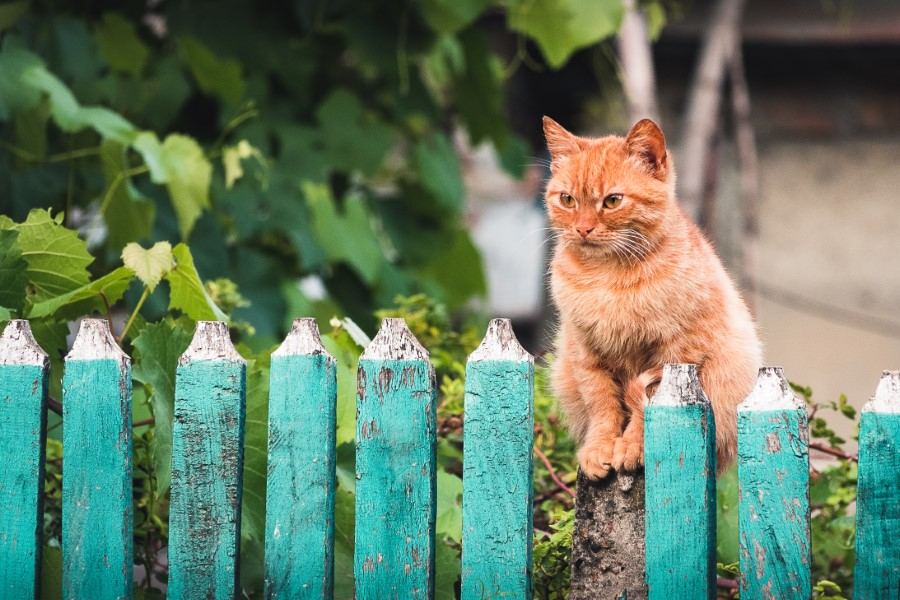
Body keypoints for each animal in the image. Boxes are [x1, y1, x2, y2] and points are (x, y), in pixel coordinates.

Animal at [544, 117, 764, 478]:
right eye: (567, 200)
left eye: (612, 201)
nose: (583, 229)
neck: (605, 276)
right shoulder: (586, 353)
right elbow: (602, 405)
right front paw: (600, 448)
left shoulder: (674, 352)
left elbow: (644, 408)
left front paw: (633, 447)